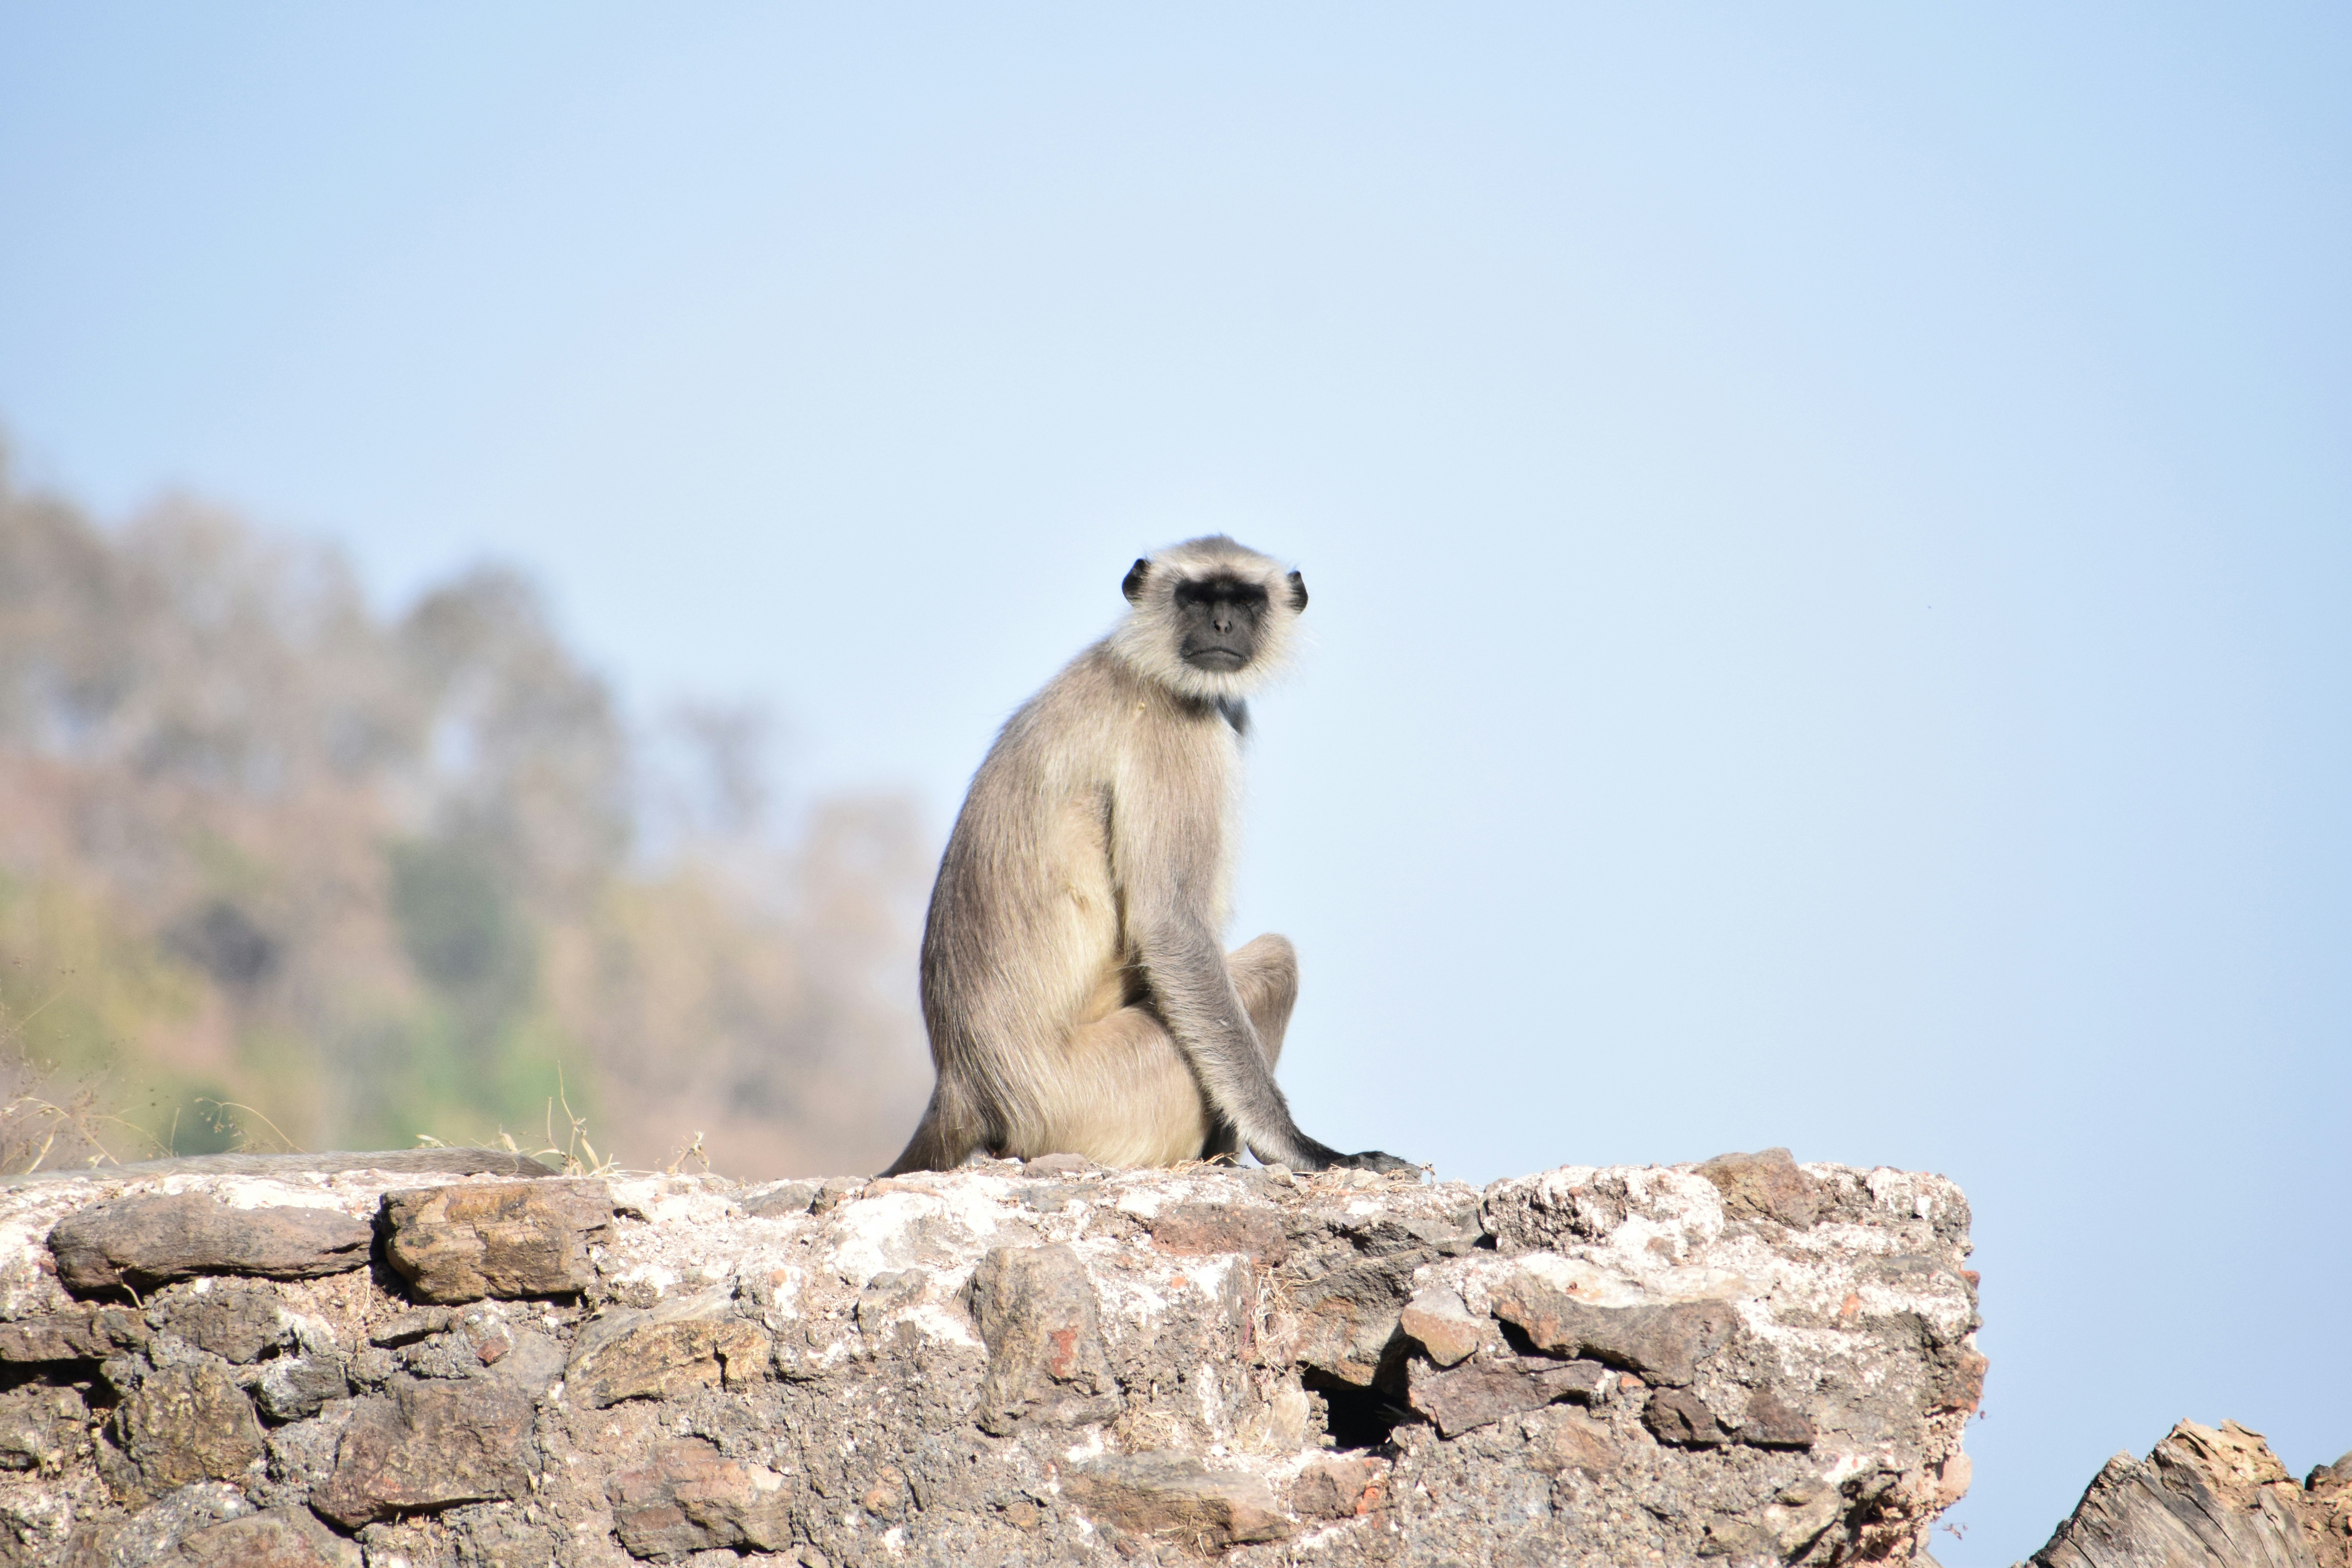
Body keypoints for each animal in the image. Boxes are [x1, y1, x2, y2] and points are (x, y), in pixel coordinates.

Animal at [882, 536, 1414, 1177]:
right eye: (1197, 598)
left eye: (1244, 600)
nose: (1221, 624)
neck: (1142, 661)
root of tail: (963, 1085)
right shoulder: (1179, 728)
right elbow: (1173, 929)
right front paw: (1303, 1148)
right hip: (1102, 1095)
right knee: (1275, 962)